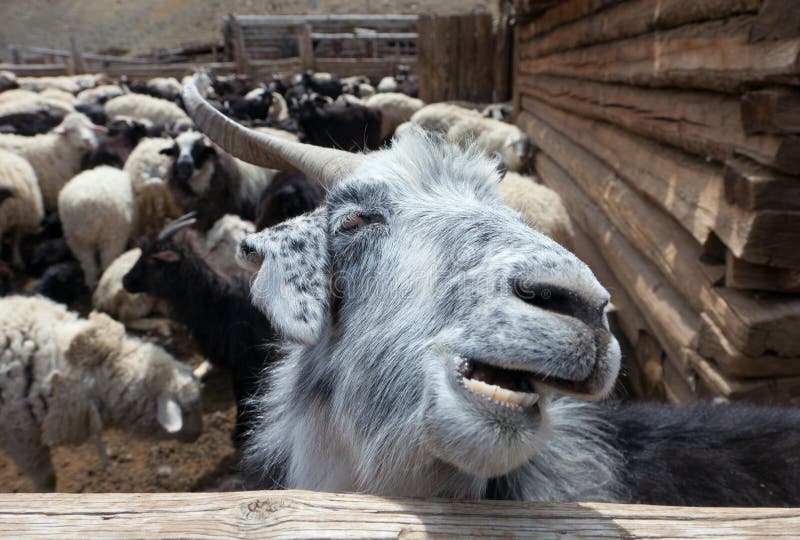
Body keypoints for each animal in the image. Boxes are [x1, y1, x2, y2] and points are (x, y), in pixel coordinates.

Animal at [123, 215, 278, 446]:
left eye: (153, 260)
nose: (125, 280)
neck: (217, 301)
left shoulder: (245, 361)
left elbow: (243, 396)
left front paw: (240, 434)